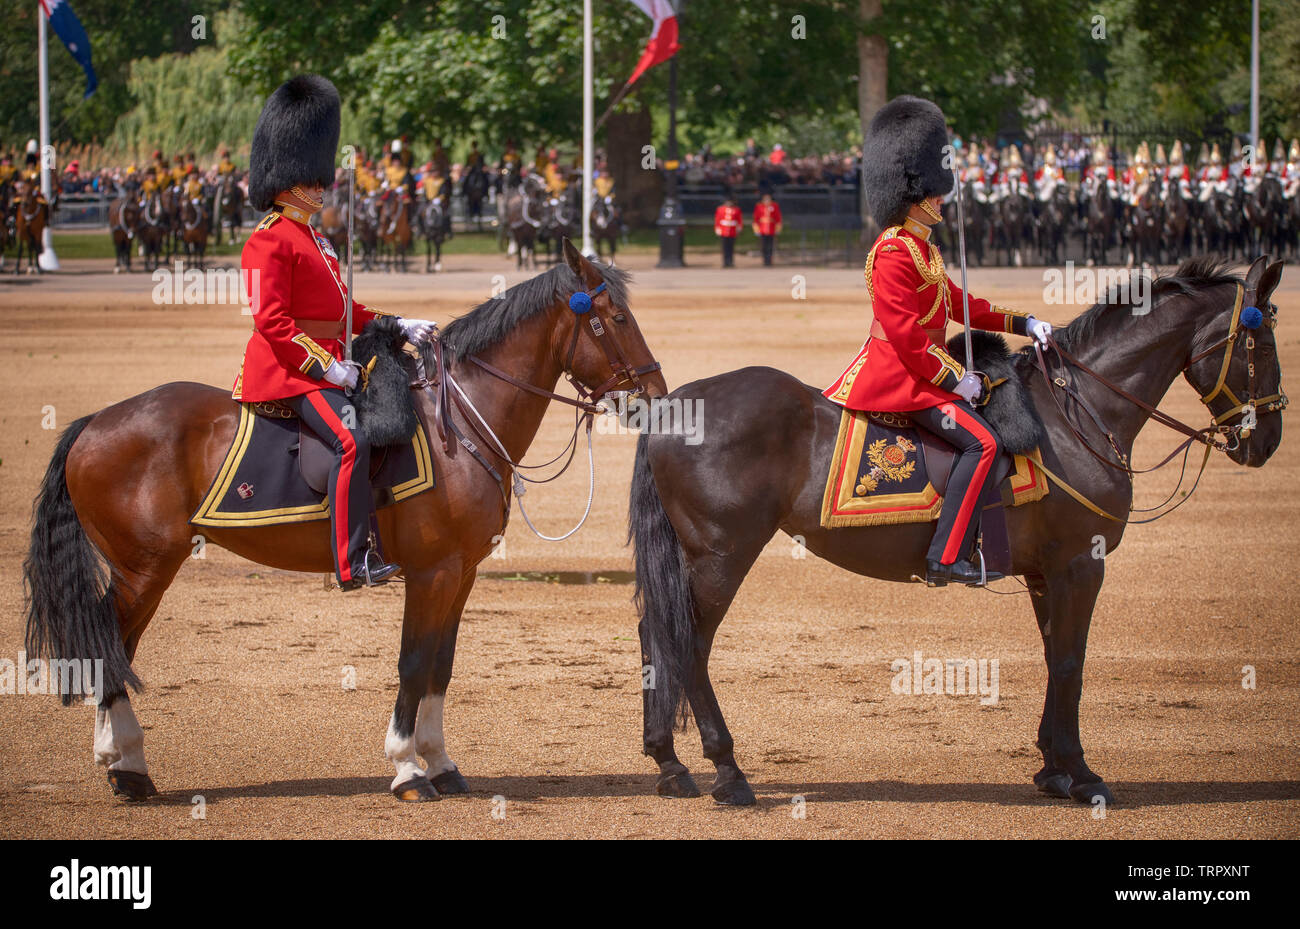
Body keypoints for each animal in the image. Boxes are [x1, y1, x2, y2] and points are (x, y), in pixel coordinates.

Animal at [23, 240, 667, 803]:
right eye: (614, 317)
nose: (657, 397)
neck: (460, 424)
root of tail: (95, 420)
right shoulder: (432, 572)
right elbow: (413, 663)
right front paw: (408, 769)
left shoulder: (460, 574)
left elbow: (440, 665)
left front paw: (440, 761)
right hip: (145, 569)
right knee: (108, 644)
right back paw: (126, 767)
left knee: (113, 646)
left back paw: (122, 762)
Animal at [628, 255, 1286, 807]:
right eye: (1260, 340)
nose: (1267, 442)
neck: (1075, 415)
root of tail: (674, 405)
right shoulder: (1080, 563)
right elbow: (1071, 662)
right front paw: (1079, 773)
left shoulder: (1047, 572)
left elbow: (1054, 657)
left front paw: (1053, 766)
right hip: (722, 554)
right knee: (690, 644)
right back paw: (727, 771)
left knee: (656, 635)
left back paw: (669, 764)